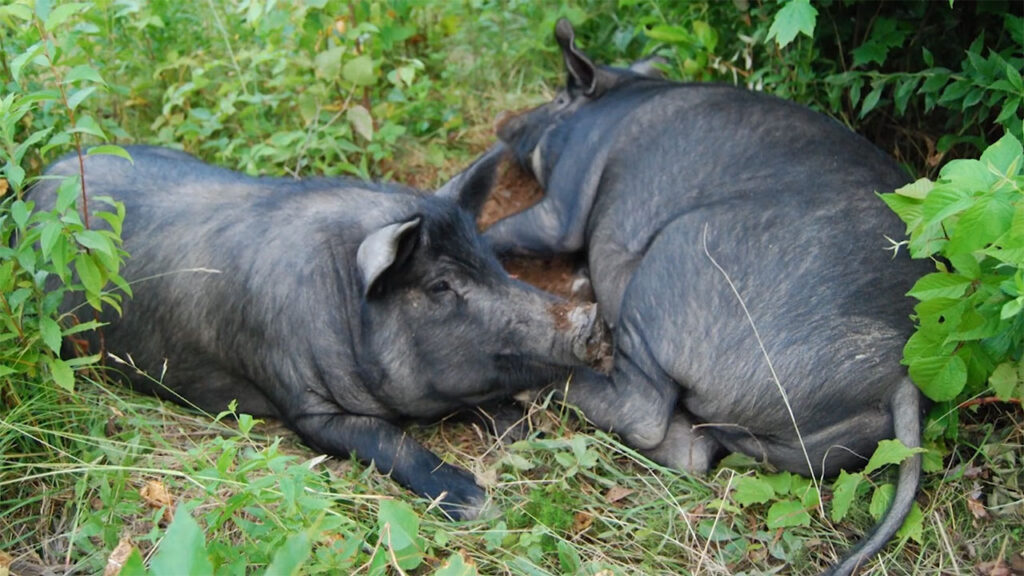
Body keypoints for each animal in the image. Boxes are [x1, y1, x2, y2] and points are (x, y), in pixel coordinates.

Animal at [30, 144, 604, 521]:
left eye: (490, 260)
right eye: (441, 285)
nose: (592, 320)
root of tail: (43, 177)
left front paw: (526, 429)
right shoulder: (304, 405)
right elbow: (387, 439)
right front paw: (478, 503)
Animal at [483, 19, 931, 575]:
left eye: (559, 97)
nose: (503, 120)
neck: (622, 96)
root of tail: (898, 376)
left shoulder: (566, 198)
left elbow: (523, 231)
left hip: (672, 266)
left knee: (643, 412)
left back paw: (534, 384)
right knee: (695, 453)